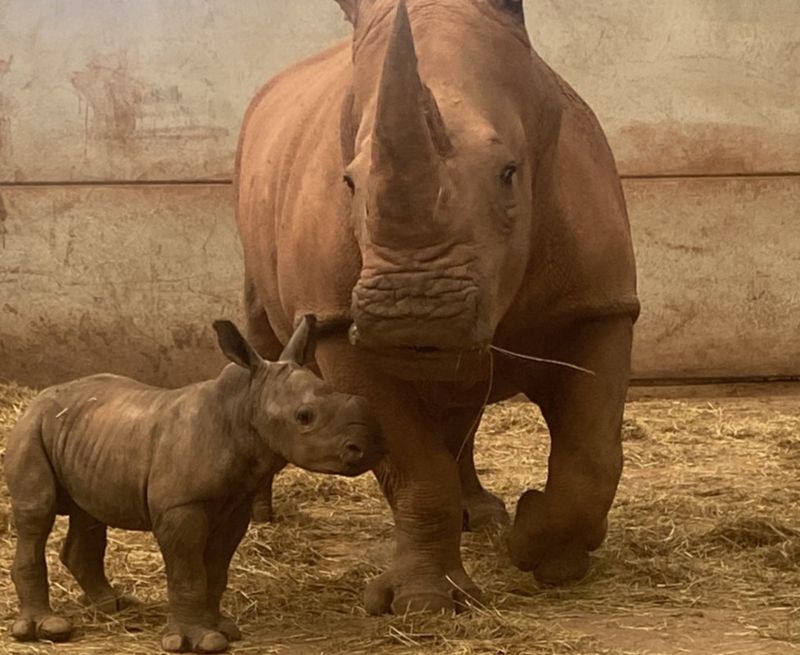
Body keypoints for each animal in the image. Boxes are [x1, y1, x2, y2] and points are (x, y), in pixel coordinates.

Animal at [4, 317, 383, 653]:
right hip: (33, 429)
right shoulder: (181, 507)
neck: (244, 404)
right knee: (36, 515)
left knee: (89, 513)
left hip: (89, 435)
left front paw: (223, 629)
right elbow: (188, 573)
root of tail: (38, 398)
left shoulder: (235, 506)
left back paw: (115, 605)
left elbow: (214, 570)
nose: (365, 449)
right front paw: (197, 642)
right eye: (305, 417)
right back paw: (47, 629)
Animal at [234, 0, 639, 614]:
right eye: (348, 183)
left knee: (460, 394)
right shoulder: (338, 325)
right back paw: (259, 516)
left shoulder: (599, 304)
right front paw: (424, 604)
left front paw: (545, 553)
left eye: (510, 174)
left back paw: (484, 517)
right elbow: (415, 468)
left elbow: (592, 454)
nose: (414, 314)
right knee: (263, 346)